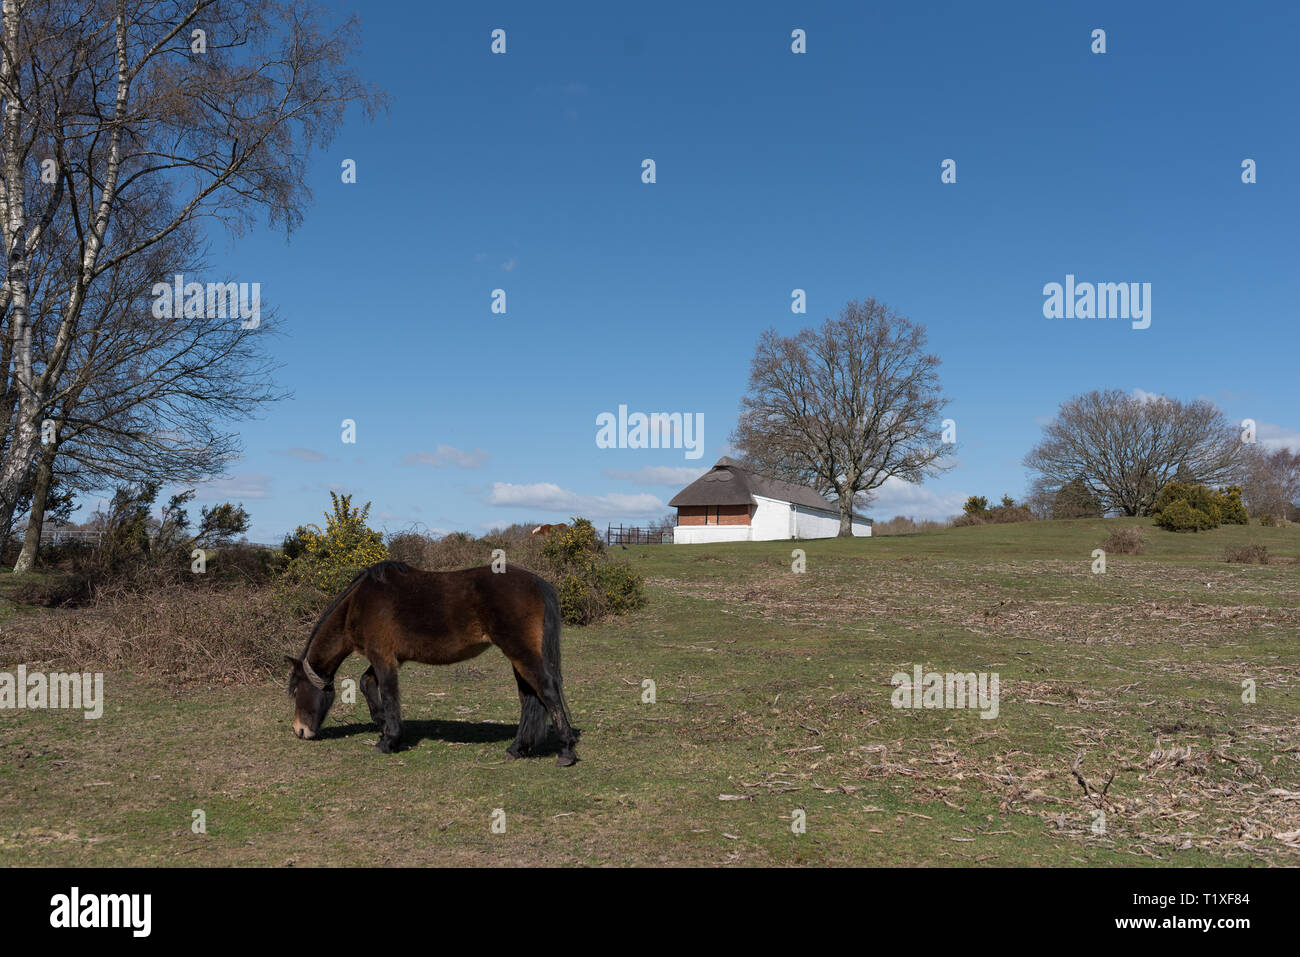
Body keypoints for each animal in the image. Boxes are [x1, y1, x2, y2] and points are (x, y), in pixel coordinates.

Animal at [285, 561, 578, 766]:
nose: (299, 730)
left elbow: (388, 694)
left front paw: (389, 740)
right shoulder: (389, 658)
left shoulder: (383, 657)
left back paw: (565, 750)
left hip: (521, 652)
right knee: (531, 697)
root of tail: (535, 582)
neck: (358, 605)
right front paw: (382, 726)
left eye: (297, 690)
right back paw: (518, 748)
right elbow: (366, 682)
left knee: (547, 691)